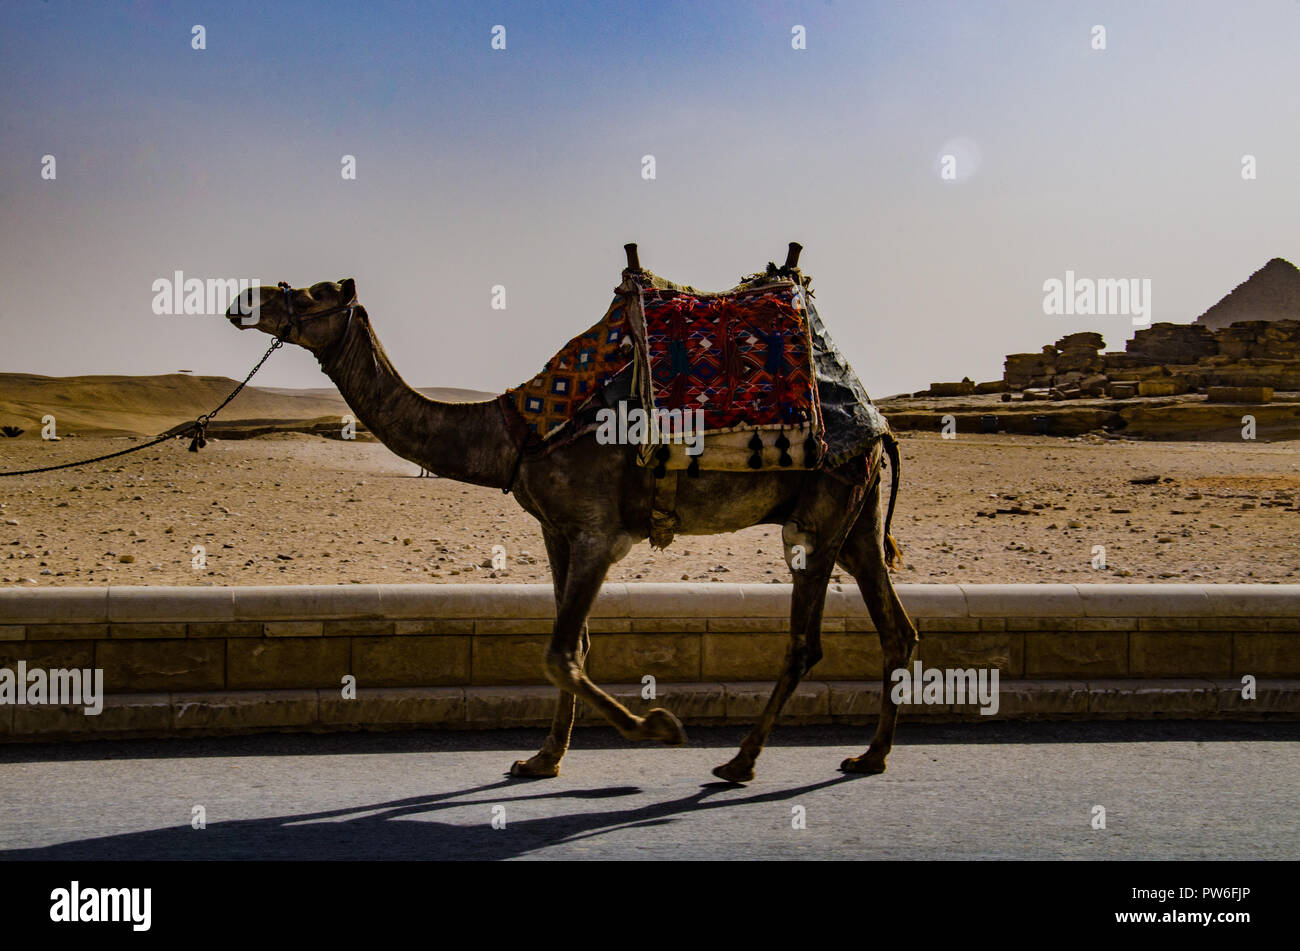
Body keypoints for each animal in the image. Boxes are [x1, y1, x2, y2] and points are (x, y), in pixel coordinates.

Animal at [225, 250, 919, 783]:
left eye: (315, 292)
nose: (242, 298)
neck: (517, 432)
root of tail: (878, 423)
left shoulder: (598, 532)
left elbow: (560, 653)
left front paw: (658, 727)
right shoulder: (555, 530)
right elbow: (572, 645)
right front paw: (542, 759)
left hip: (821, 513)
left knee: (805, 642)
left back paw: (740, 762)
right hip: (856, 521)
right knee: (897, 629)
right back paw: (869, 756)